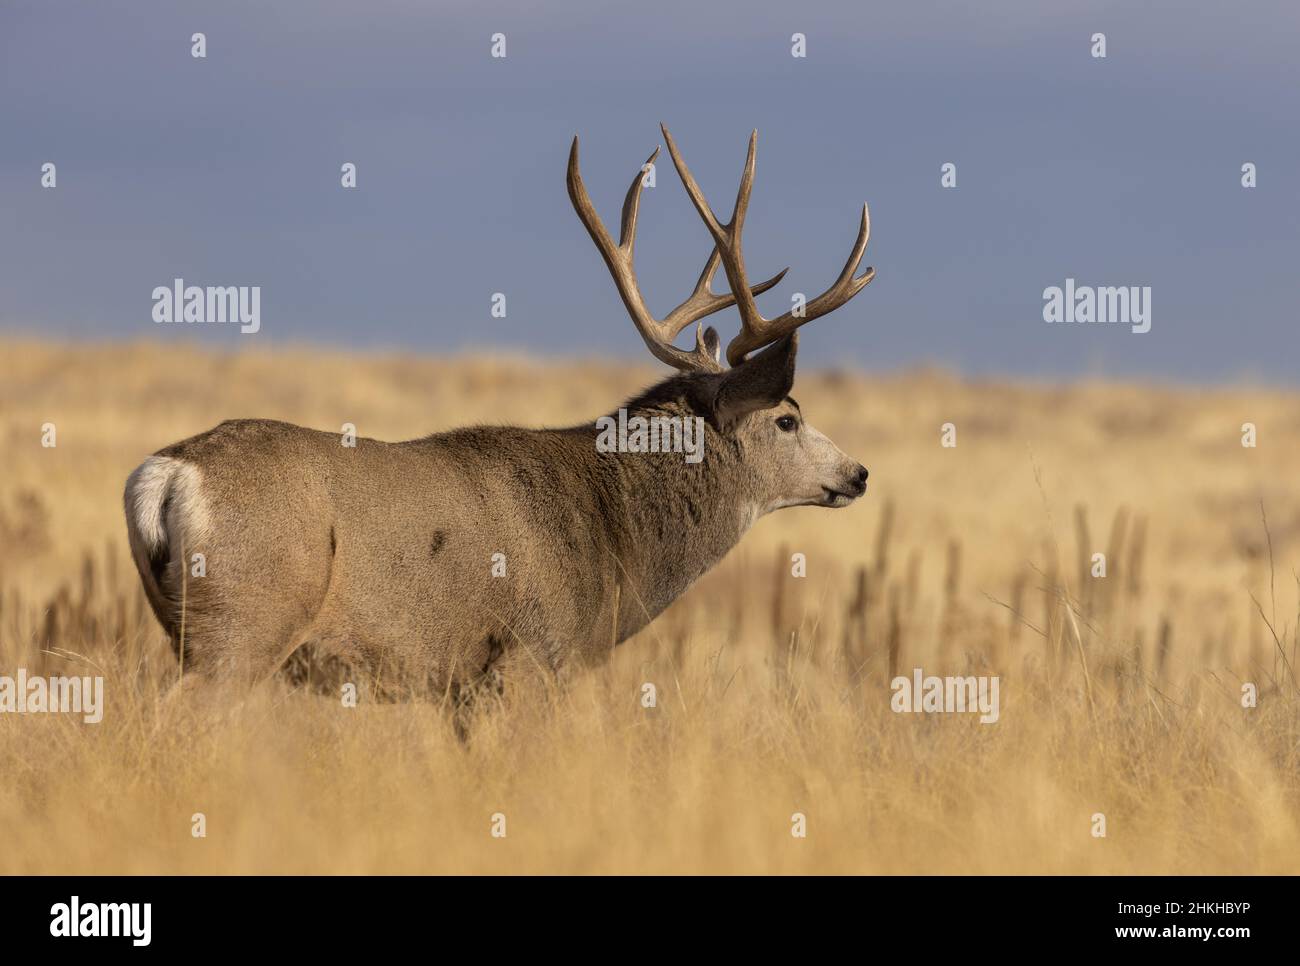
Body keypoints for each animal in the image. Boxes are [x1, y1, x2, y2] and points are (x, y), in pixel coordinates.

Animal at [124, 124, 874, 707]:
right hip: (243, 624)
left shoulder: (461, 688)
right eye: (787, 418)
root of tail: (166, 475)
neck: (612, 534)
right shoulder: (533, 657)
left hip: (185, 625)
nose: (860, 473)